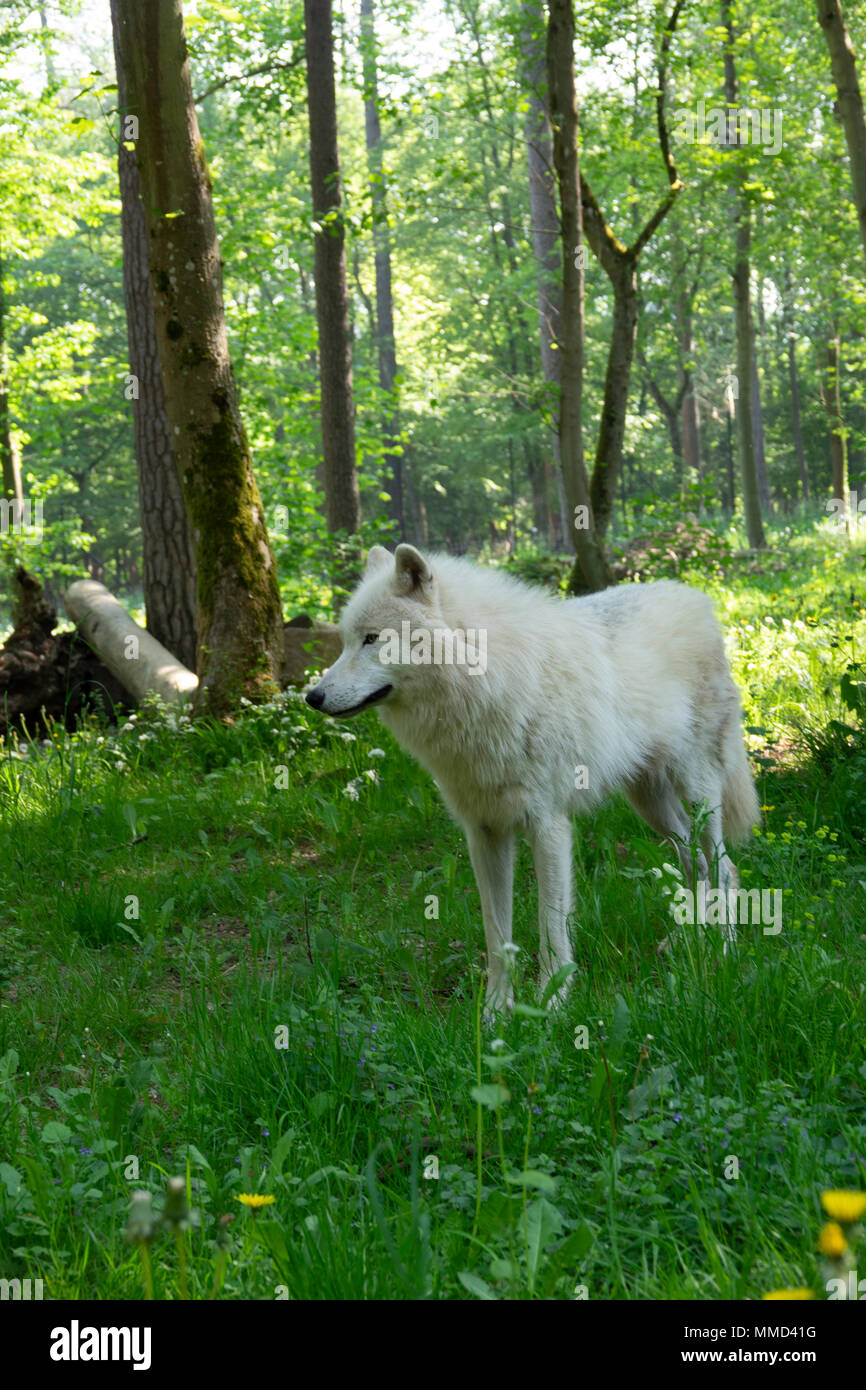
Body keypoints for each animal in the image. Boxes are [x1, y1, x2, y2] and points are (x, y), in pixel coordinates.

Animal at [306, 544, 760, 1009]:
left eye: (372, 639)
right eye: (345, 641)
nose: (312, 697)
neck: (489, 684)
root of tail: (696, 596)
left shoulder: (549, 826)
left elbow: (550, 928)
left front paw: (552, 1004)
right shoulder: (484, 833)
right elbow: (497, 937)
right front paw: (496, 1011)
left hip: (698, 791)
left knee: (724, 867)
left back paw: (722, 951)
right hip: (652, 806)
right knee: (697, 864)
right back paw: (687, 942)